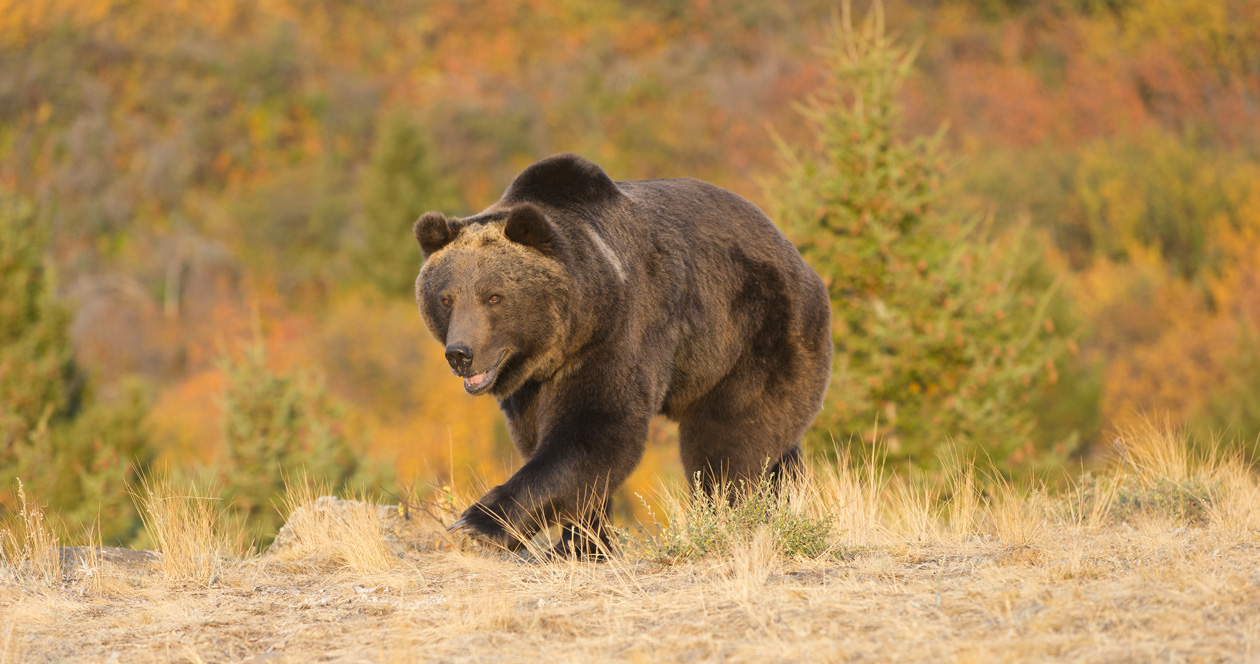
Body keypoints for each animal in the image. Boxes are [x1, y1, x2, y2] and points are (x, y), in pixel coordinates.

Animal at [413, 153, 832, 556]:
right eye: (446, 299)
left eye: (494, 296)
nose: (460, 354)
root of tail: (798, 257)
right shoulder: (530, 385)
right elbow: (551, 445)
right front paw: (582, 544)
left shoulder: (618, 333)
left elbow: (597, 428)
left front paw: (479, 522)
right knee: (777, 446)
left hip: (752, 336)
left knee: (728, 442)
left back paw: (730, 521)